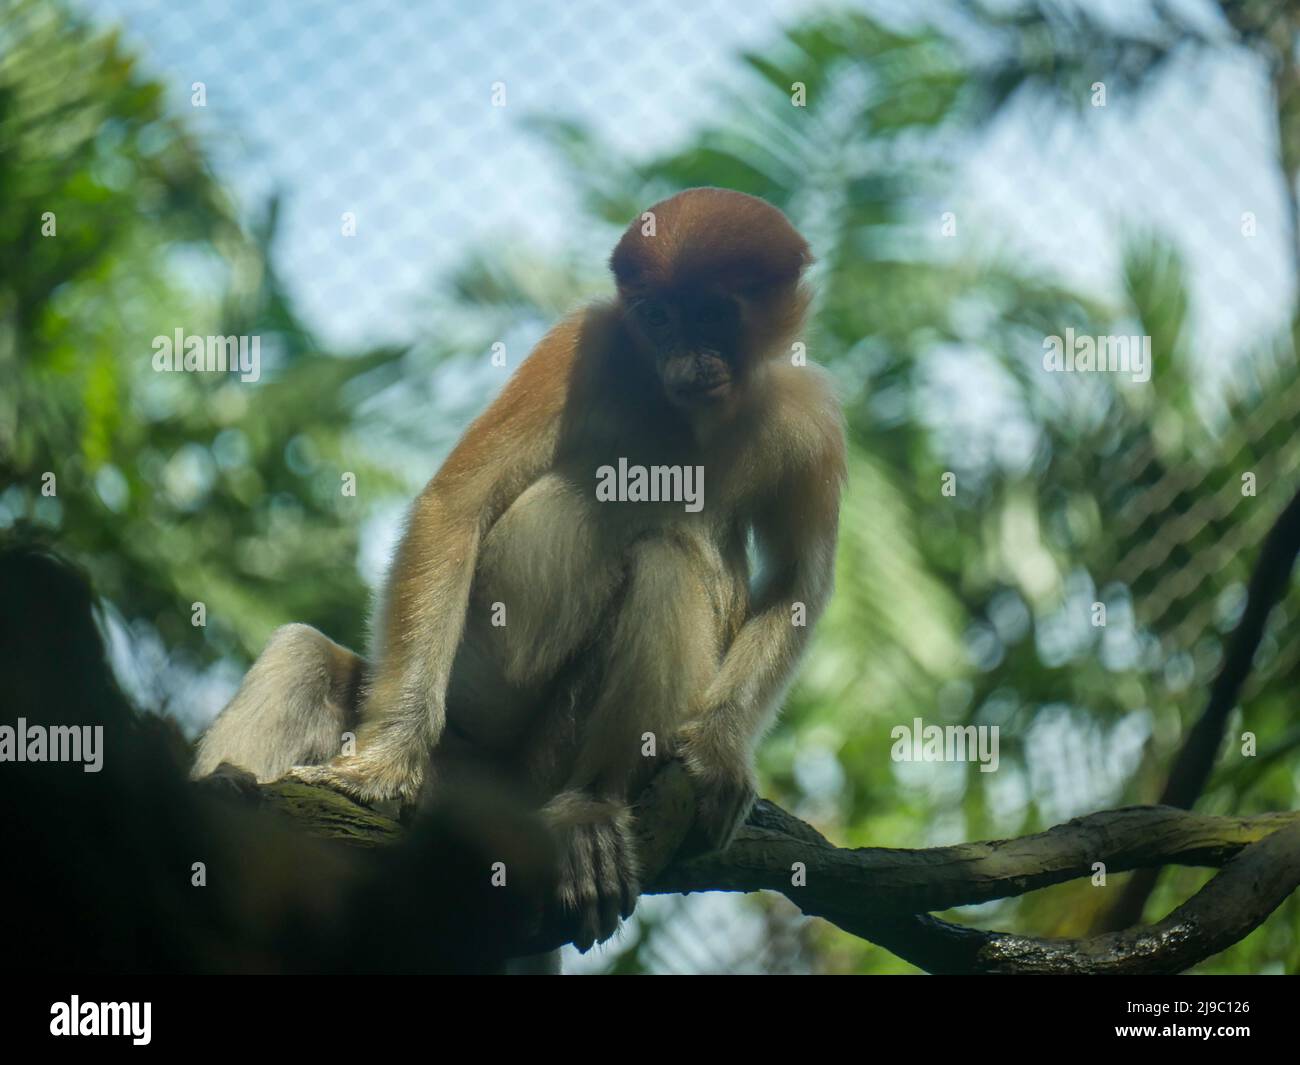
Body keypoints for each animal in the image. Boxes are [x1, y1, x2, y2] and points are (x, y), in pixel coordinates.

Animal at [193, 186, 846, 952]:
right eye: (656, 317)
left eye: (713, 312)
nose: (687, 364)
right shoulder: (586, 340)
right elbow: (458, 503)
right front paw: (383, 769)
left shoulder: (812, 417)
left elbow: (795, 586)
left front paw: (718, 751)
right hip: (468, 716)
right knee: (305, 652)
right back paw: (225, 795)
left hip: (539, 760)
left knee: (666, 557)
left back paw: (590, 808)